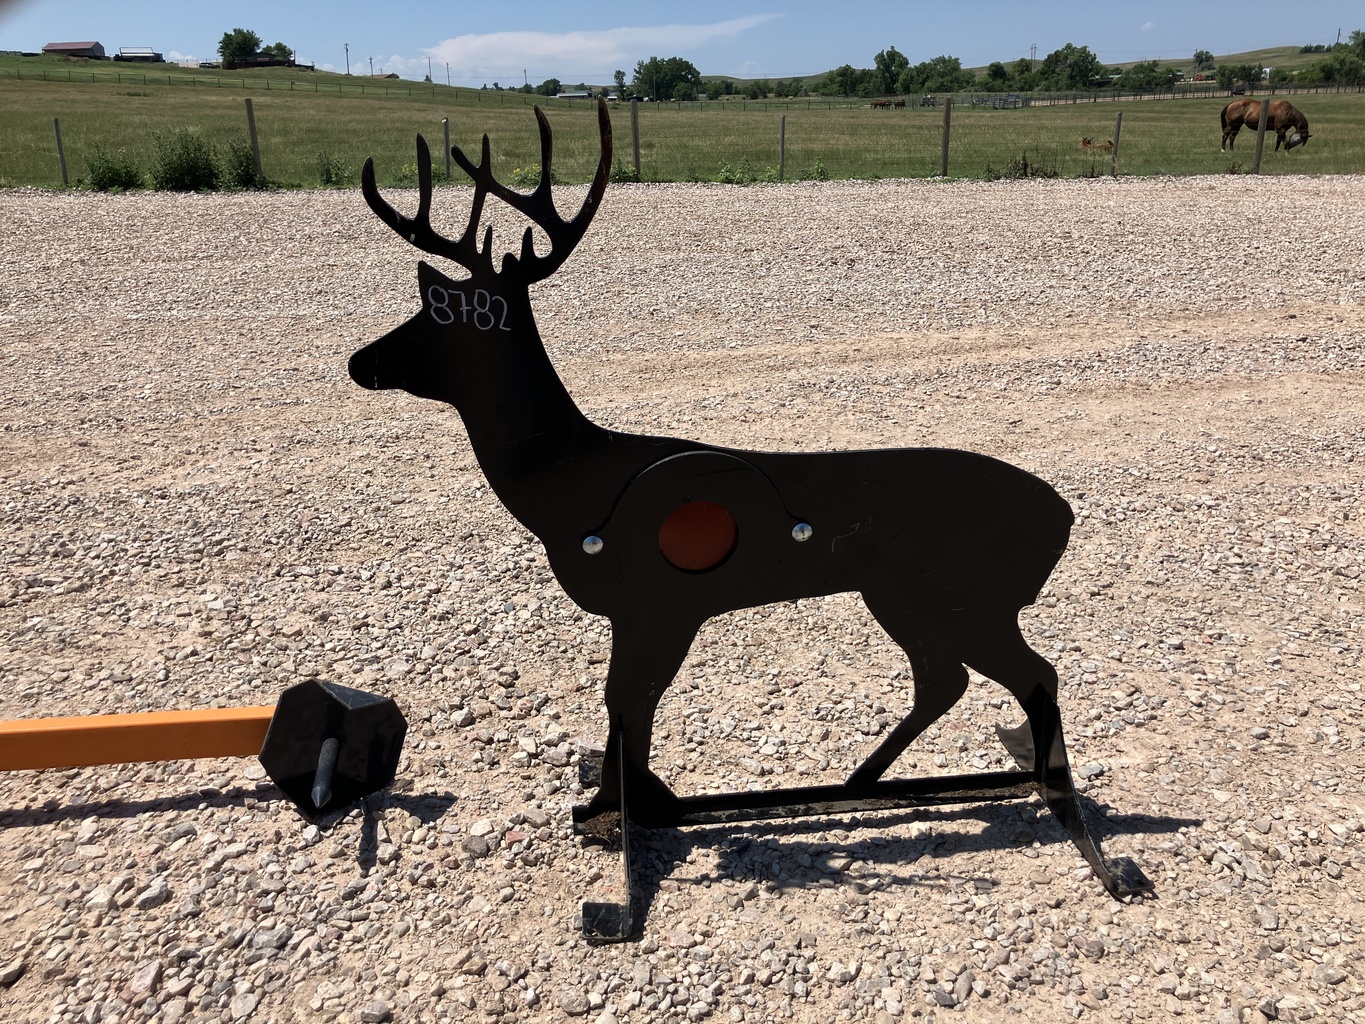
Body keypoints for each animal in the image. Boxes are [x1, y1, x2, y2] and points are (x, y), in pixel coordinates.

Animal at [350, 99, 1148, 910]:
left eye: (438, 316)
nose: (358, 361)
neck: (567, 485)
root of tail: (1061, 519)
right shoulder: (645, 614)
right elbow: (624, 706)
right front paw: (622, 802)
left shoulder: (659, 607)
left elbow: (628, 701)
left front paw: (617, 834)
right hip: (912, 595)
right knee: (949, 678)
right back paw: (870, 781)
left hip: (956, 593)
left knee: (1031, 675)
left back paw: (1092, 851)